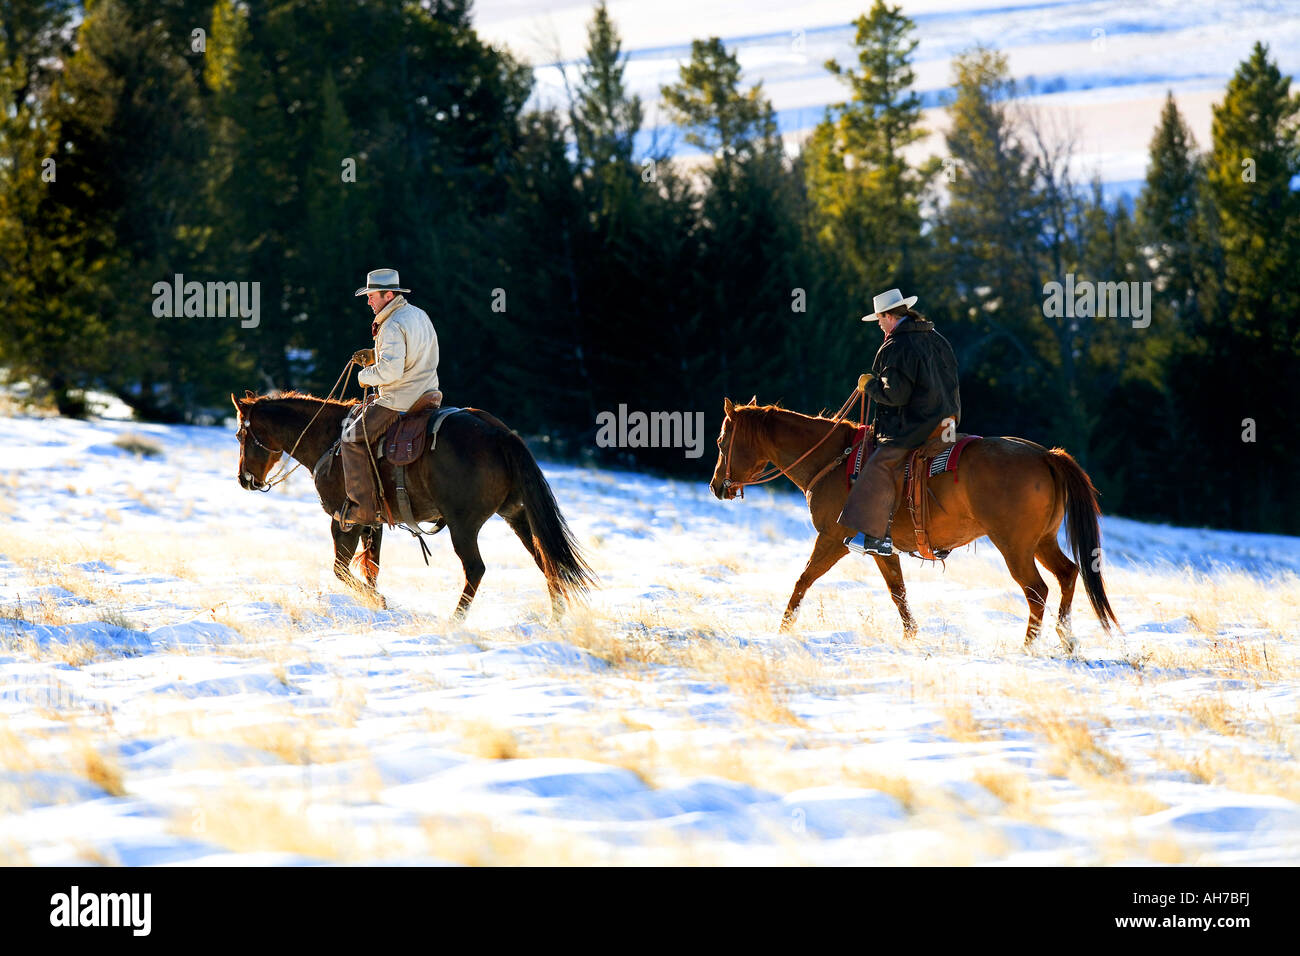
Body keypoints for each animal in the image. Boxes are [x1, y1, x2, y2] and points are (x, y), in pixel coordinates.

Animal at [230, 390, 594, 621]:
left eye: (240, 435)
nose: (245, 479)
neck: (328, 439)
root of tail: (500, 435)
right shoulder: (372, 522)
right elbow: (372, 568)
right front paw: (375, 603)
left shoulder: (343, 519)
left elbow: (340, 569)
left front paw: (378, 601)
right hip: (518, 516)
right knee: (549, 562)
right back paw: (556, 617)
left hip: (463, 525)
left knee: (476, 568)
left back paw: (455, 619)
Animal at [708, 398, 1119, 650]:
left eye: (721, 441)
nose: (716, 486)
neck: (834, 461)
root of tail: (1046, 455)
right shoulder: (879, 546)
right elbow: (898, 591)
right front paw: (911, 636)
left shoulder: (833, 539)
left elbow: (802, 581)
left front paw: (782, 629)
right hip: (1042, 541)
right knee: (1068, 574)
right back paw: (1066, 638)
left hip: (1014, 546)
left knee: (1037, 590)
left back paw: (1029, 645)